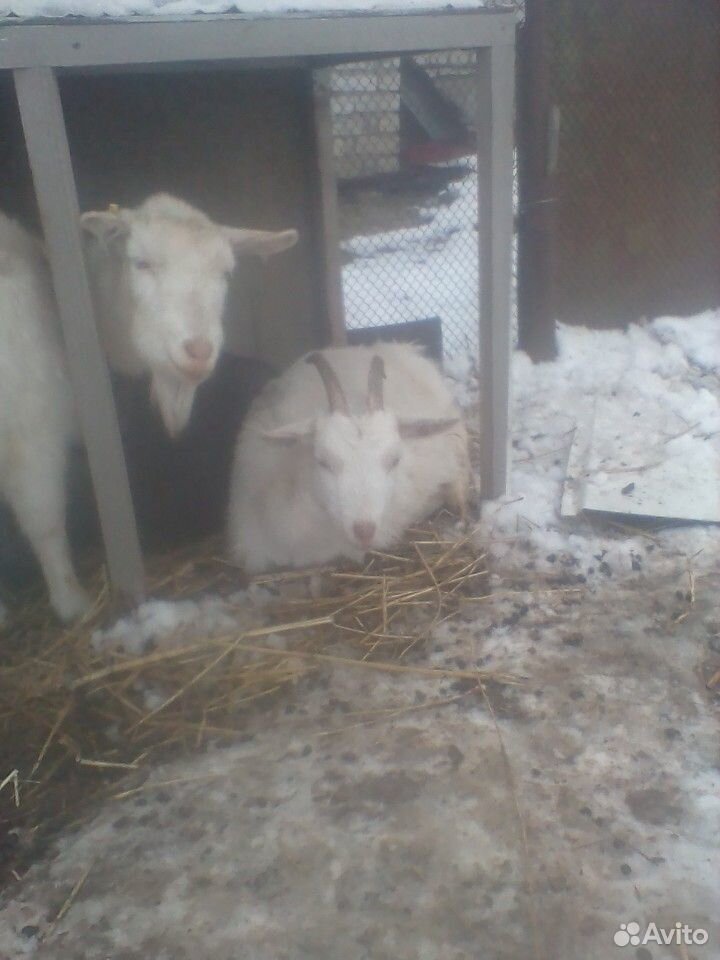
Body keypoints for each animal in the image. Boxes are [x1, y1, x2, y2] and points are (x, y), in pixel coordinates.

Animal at [0, 197, 297, 620]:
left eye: (225, 272)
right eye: (140, 263)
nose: (199, 350)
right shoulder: (30, 434)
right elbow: (45, 521)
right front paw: (72, 603)